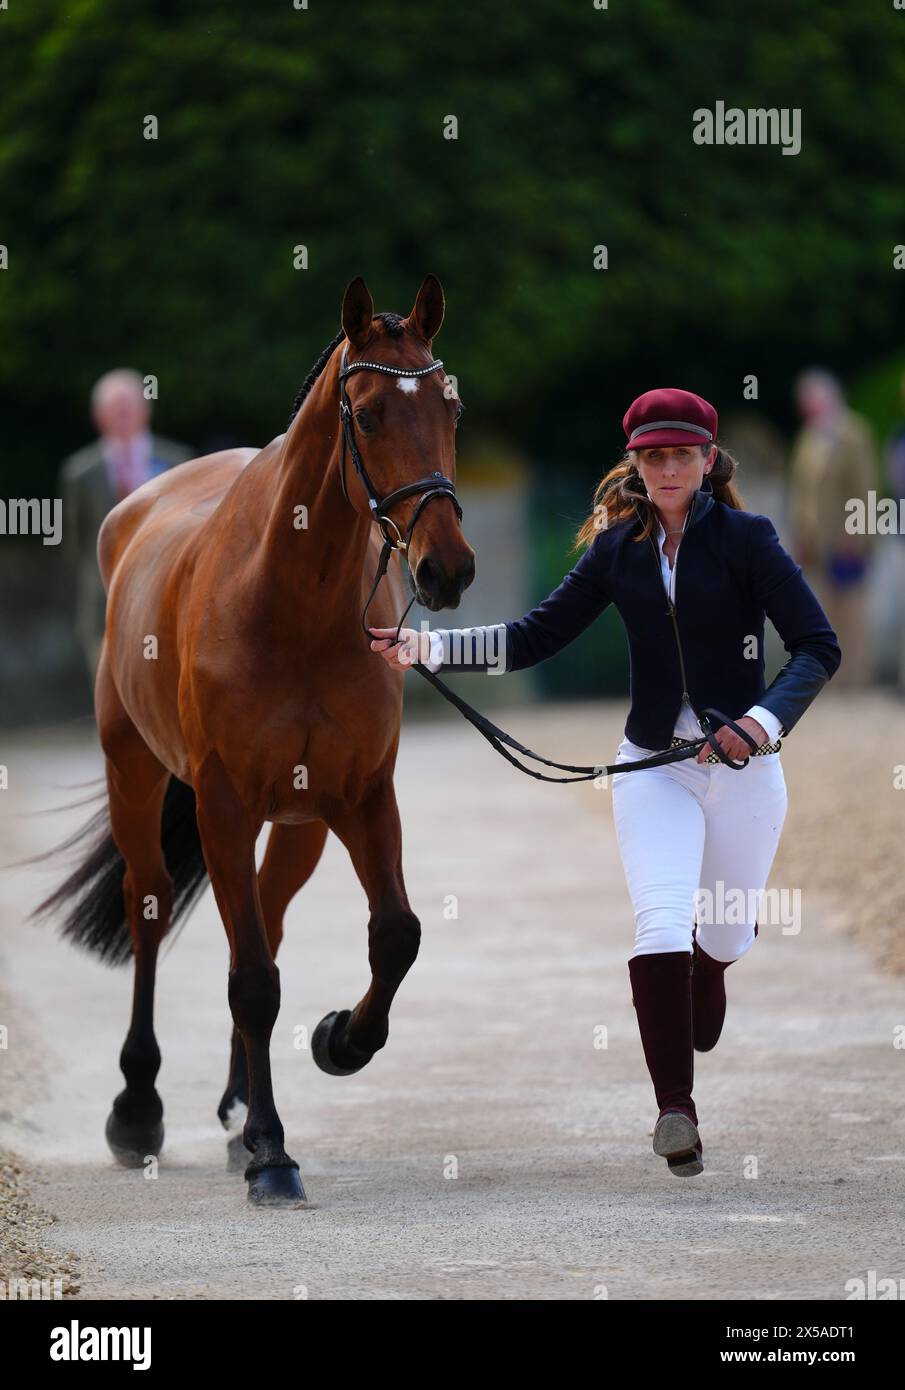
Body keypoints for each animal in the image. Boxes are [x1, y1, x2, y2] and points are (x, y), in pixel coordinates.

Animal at [35, 276, 475, 1204]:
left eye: (451, 409)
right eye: (368, 415)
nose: (446, 568)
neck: (293, 605)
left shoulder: (360, 798)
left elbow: (394, 935)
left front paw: (340, 1040)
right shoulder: (226, 807)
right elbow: (250, 982)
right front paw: (274, 1154)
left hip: (299, 824)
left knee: (264, 920)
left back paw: (238, 1110)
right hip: (137, 780)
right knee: (150, 904)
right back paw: (139, 1111)